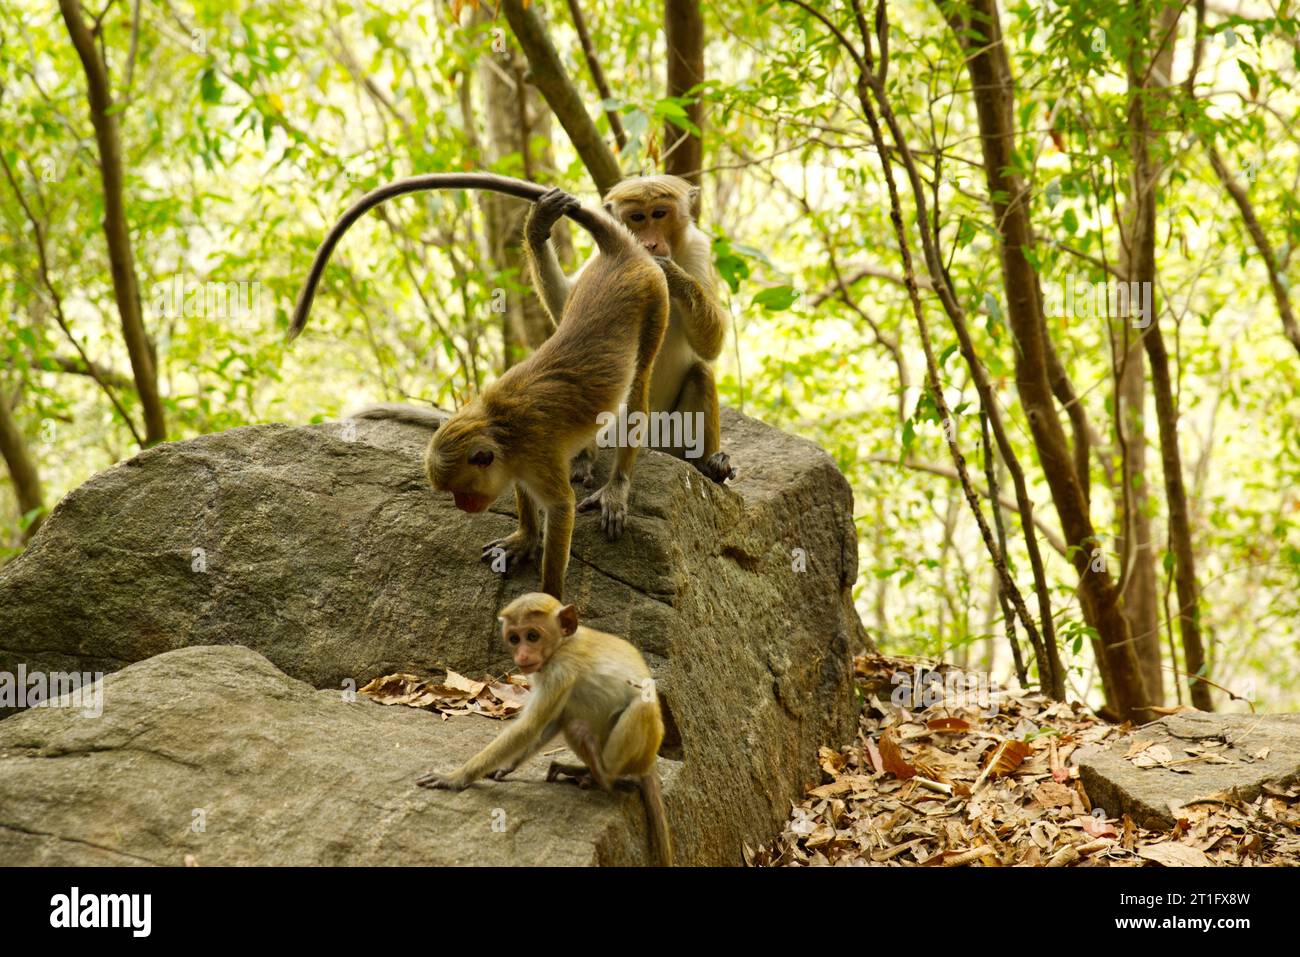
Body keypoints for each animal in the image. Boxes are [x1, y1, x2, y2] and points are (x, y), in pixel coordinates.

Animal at [287, 174, 669, 600]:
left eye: (462, 490)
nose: (461, 506)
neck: (500, 427)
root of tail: (621, 254)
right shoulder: (516, 460)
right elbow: (522, 494)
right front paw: (526, 536)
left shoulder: (537, 456)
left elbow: (561, 508)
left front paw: (550, 599)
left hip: (655, 295)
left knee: (638, 385)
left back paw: (618, 484)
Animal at [416, 592, 673, 867]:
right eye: (514, 638)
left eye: (532, 636)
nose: (521, 655)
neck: (562, 644)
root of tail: (650, 762)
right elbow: (550, 721)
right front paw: (506, 766)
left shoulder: (560, 669)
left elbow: (529, 726)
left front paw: (455, 777)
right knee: (571, 719)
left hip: (641, 748)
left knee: (638, 706)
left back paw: (602, 775)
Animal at [527, 174, 735, 486]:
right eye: (637, 217)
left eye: (659, 214)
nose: (649, 244)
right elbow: (570, 311)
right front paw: (538, 226)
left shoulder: (699, 249)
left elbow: (711, 345)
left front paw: (672, 275)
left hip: (667, 441)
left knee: (701, 373)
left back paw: (709, 466)